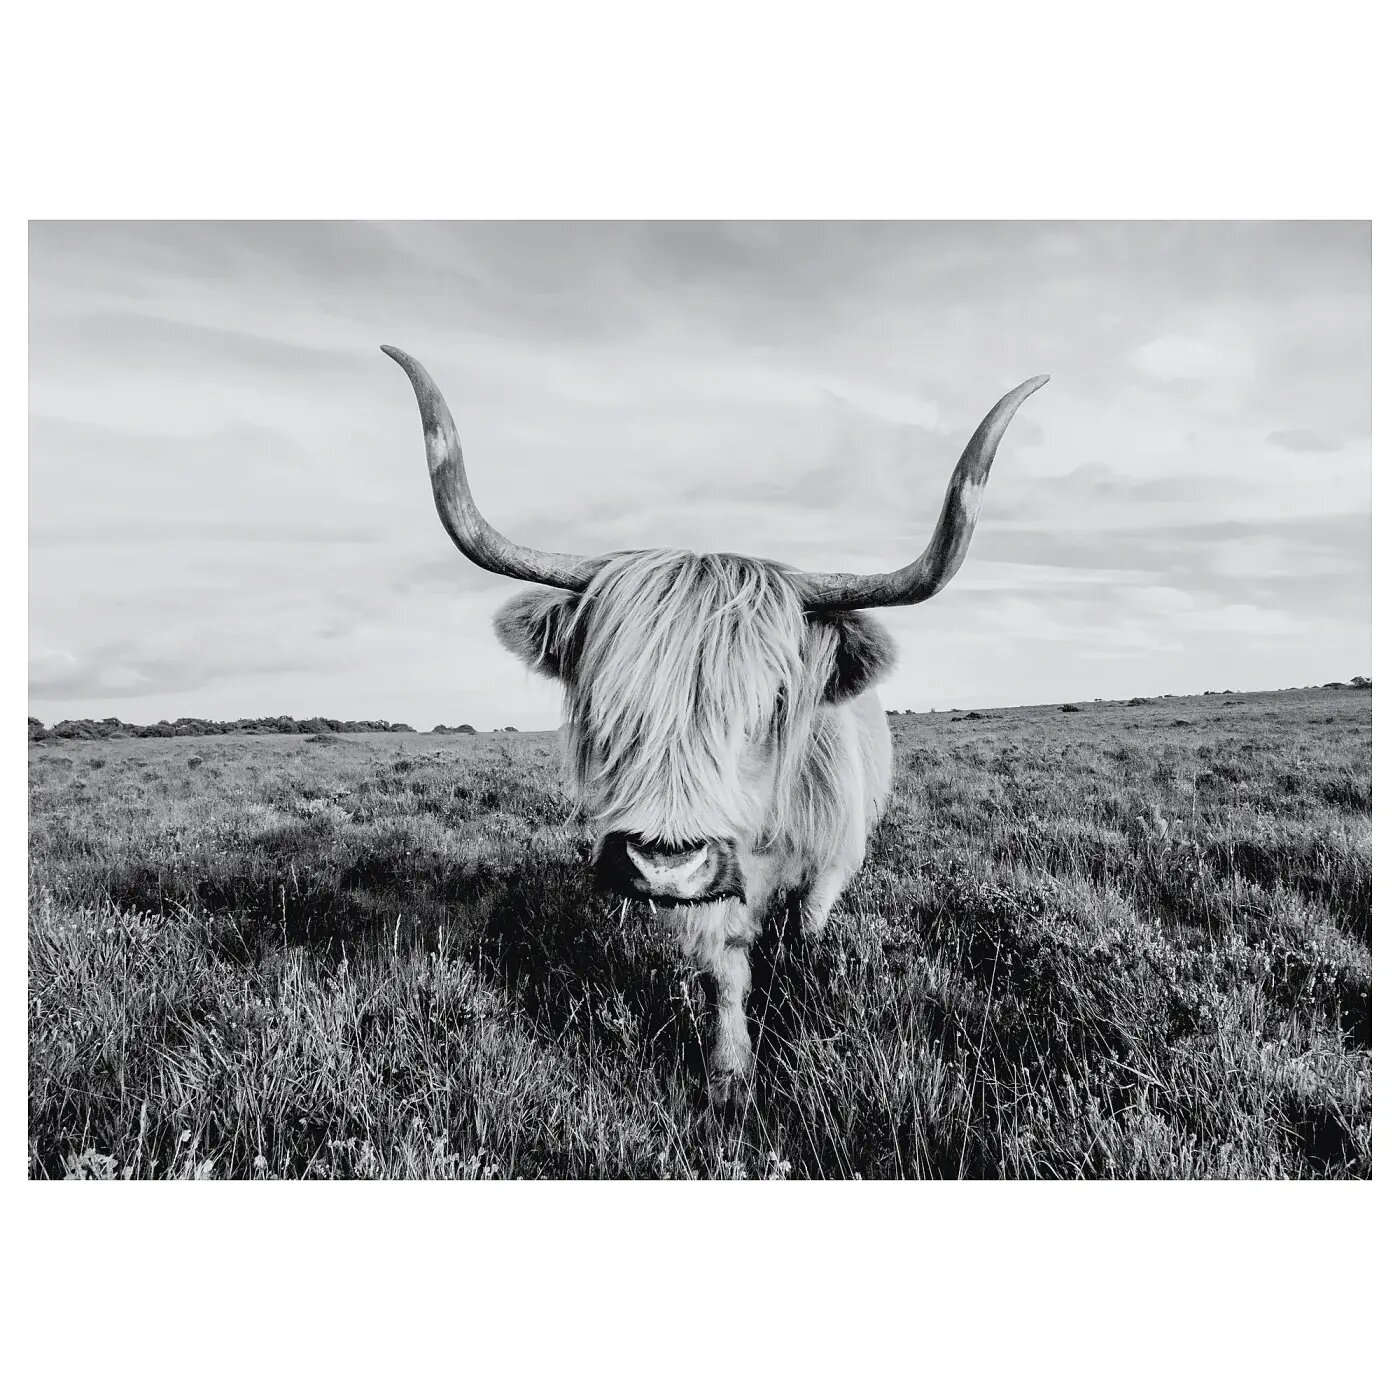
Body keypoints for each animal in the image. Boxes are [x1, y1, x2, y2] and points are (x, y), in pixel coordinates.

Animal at [383, 345, 1046, 1103]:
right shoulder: (712, 898)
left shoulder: (829, 864)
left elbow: (804, 936)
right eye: (606, 700)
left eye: (773, 703)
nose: (664, 864)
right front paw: (731, 1075)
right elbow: (726, 968)